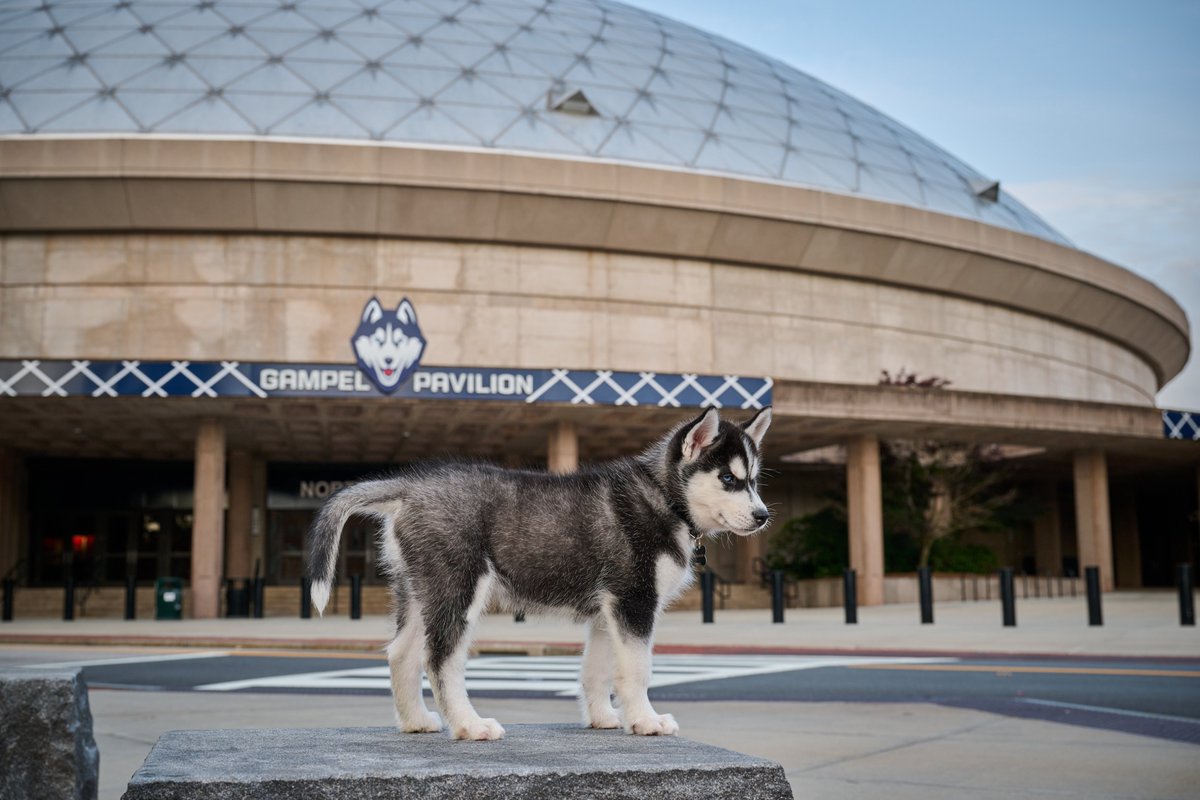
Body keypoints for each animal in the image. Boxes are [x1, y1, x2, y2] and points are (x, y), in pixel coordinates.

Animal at [304, 410, 772, 743]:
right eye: (728, 478)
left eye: (753, 481)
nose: (763, 516)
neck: (665, 498)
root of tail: (409, 485)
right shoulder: (634, 600)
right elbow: (636, 669)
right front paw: (645, 720)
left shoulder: (608, 610)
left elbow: (597, 669)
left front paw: (604, 718)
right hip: (459, 588)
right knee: (439, 659)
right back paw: (469, 725)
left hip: (421, 588)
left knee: (401, 652)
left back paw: (416, 721)